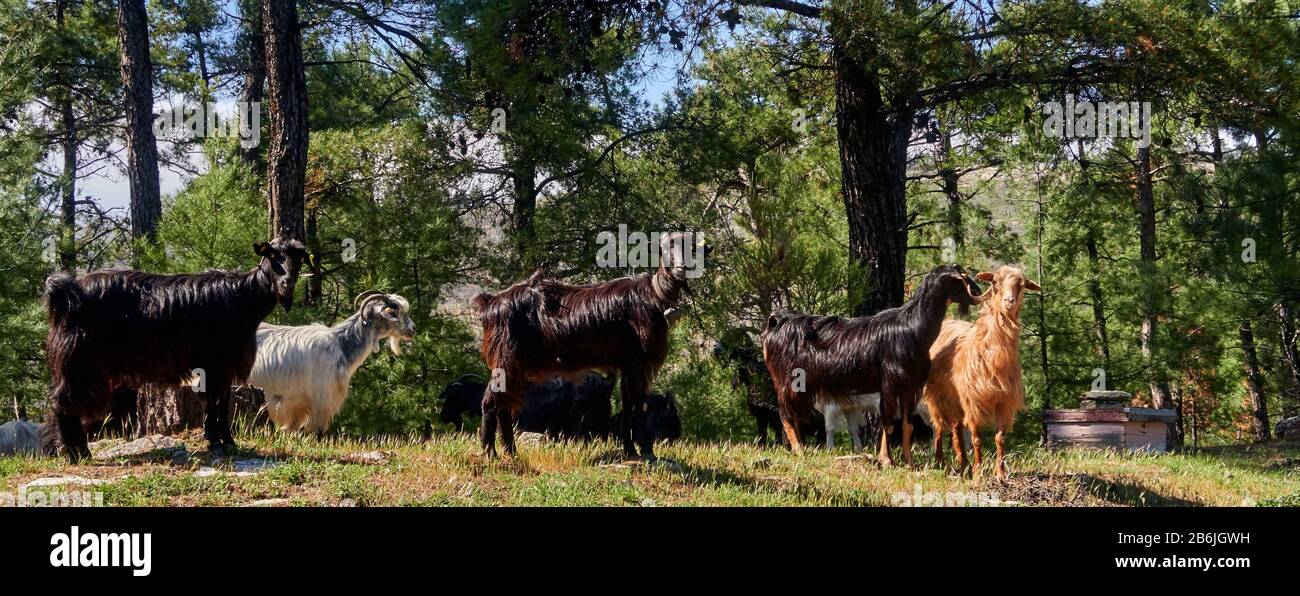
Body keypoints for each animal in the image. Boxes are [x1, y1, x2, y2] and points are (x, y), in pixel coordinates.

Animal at [41, 240, 310, 460]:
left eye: (298, 259)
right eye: (273, 256)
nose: (287, 284)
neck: (243, 298)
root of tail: (66, 293)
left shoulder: (218, 366)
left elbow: (219, 400)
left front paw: (221, 440)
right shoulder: (215, 363)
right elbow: (216, 401)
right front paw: (220, 441)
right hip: (80, 362)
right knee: (62, 402)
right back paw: (77, 453)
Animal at [249, 291, 415, 434]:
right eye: (393, 312)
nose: (413, 329)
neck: (341, 345)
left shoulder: (299, 403)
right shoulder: (322, 397)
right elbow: (316, 429)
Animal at [471, 232, 703, 460]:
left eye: (691, 247)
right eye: (665, 247)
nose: (681, 268)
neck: (653, 296)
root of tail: (490, 303)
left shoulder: (626, 363)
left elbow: (628, 404)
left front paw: (630, 450)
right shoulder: (636, 360)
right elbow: (639, 404)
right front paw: (647, 450)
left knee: (504, 405)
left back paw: (511, 453)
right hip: (506, 358)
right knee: (490, 402)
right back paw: (490, 454)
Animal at [761, 265, 984, 466]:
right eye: (961, 278)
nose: (977, 292)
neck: (913, 328)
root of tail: (776, 322)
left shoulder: (910, 387)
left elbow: (907, 425)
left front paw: (909, 462)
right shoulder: (889, 384)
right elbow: (888, 423)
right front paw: (886, 460)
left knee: (793, 413)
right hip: (788, 380)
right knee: (786, 414)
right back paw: (799, 450)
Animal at [923, 266, 1039, 481]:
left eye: (1021, 285)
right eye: (995, 282)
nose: (1009, 301)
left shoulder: (1004, 402)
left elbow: (1000, 438)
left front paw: (1000, 473)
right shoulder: (973, 401)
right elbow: (976, 439)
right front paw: (978, 473)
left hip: (954, 399)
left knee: (956, 428)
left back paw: (963, 464)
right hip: (937, 396)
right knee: (939, 426)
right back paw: (941, 462)